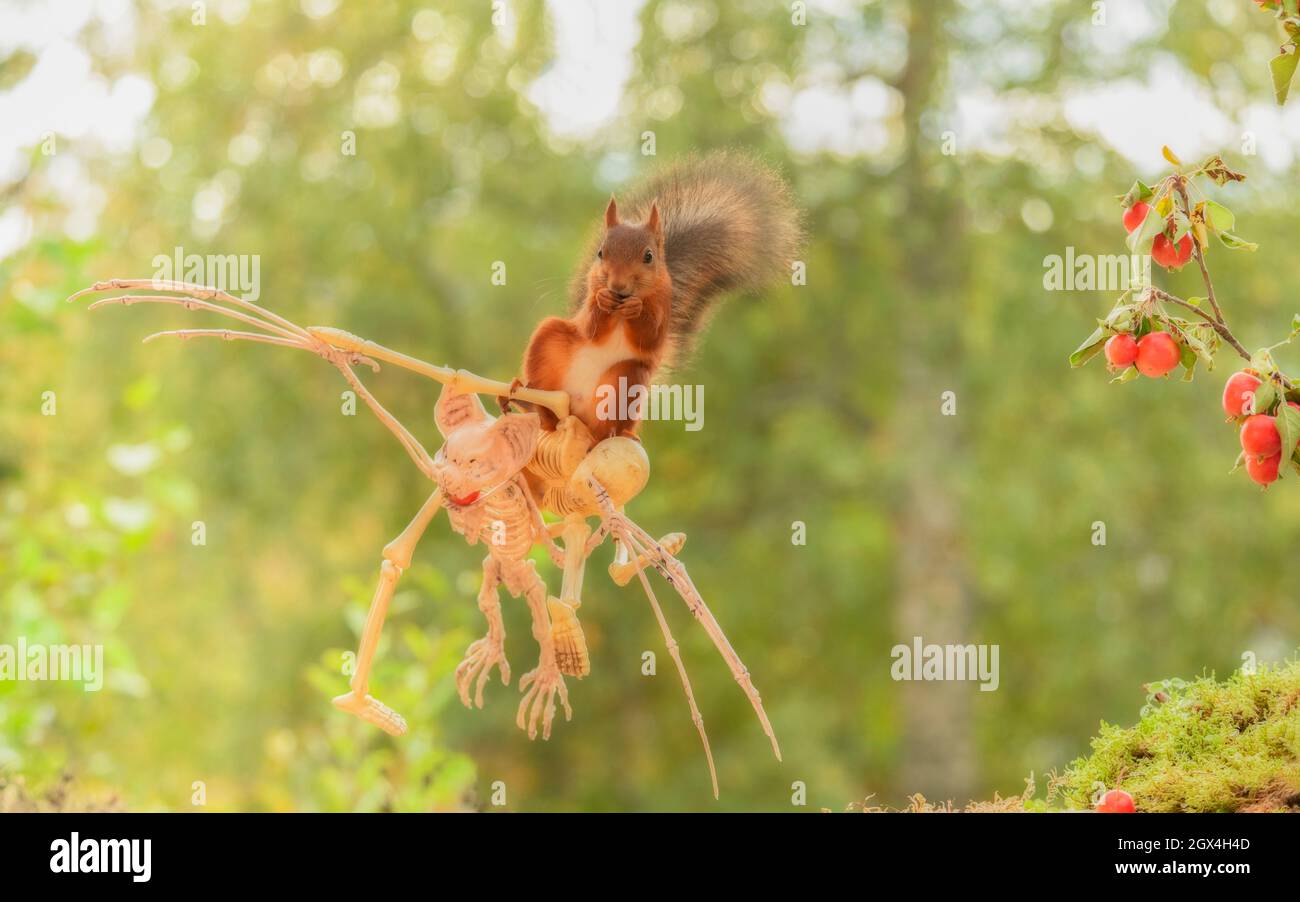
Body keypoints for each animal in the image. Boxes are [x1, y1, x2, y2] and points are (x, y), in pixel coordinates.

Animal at [501, 151, 802, 443]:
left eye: (648, 256)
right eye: (601, 253)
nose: (618, 286)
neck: (620, 308)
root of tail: (574, 414)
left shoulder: (664, 305)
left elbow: (651, 336)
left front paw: (637, 309)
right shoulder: (588, 304)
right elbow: (590, 328)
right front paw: (603, 302)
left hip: (629, 377)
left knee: (605, 421)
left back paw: (611, 434)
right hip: (551, 338)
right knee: (547, 405)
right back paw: (527, 400)